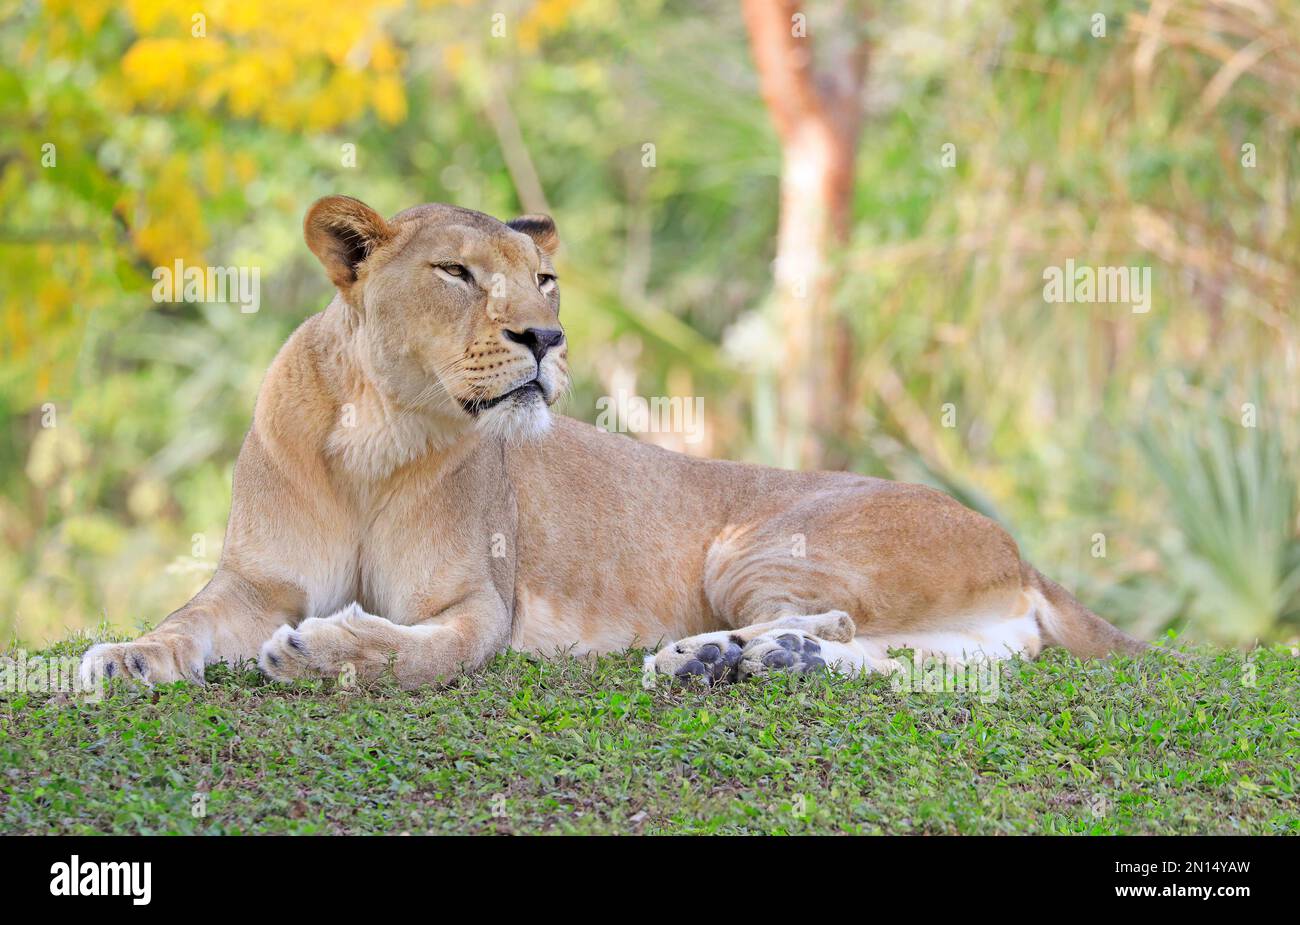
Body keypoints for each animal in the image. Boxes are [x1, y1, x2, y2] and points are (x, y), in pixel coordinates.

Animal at [79, 195, 1145, 690]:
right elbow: (186, 621)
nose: (544, 338)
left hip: (753, 542)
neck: (376, 432)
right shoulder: (254, 582)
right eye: (457, 273)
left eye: (543, 278)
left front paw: (322, 651)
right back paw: (740, 660)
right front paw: (122, 659)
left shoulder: (479, 604)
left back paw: (711, 655)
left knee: (844, 623)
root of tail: (1019, 549)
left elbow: (418, 652)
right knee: (916, 664)